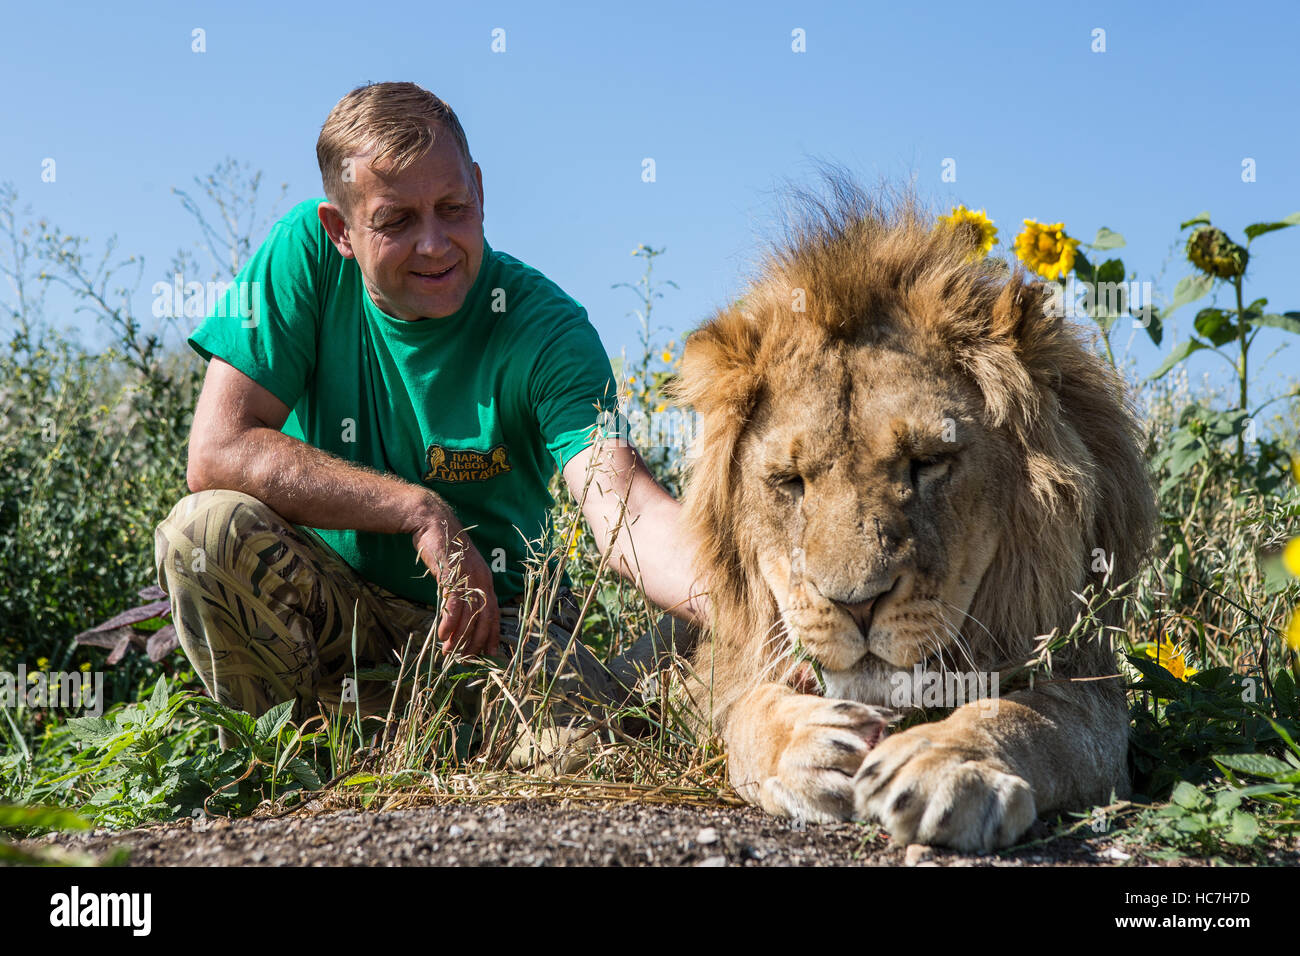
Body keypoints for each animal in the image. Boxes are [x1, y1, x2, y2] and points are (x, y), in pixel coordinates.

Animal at [666, 173, 1158, 852]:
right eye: (791, 482)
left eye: (927, 461)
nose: (856, 604)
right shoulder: (717, 680)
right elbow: (747, 711)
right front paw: (809, 744)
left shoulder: (1086, 680)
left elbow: (1030, 718)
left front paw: (946, 764)